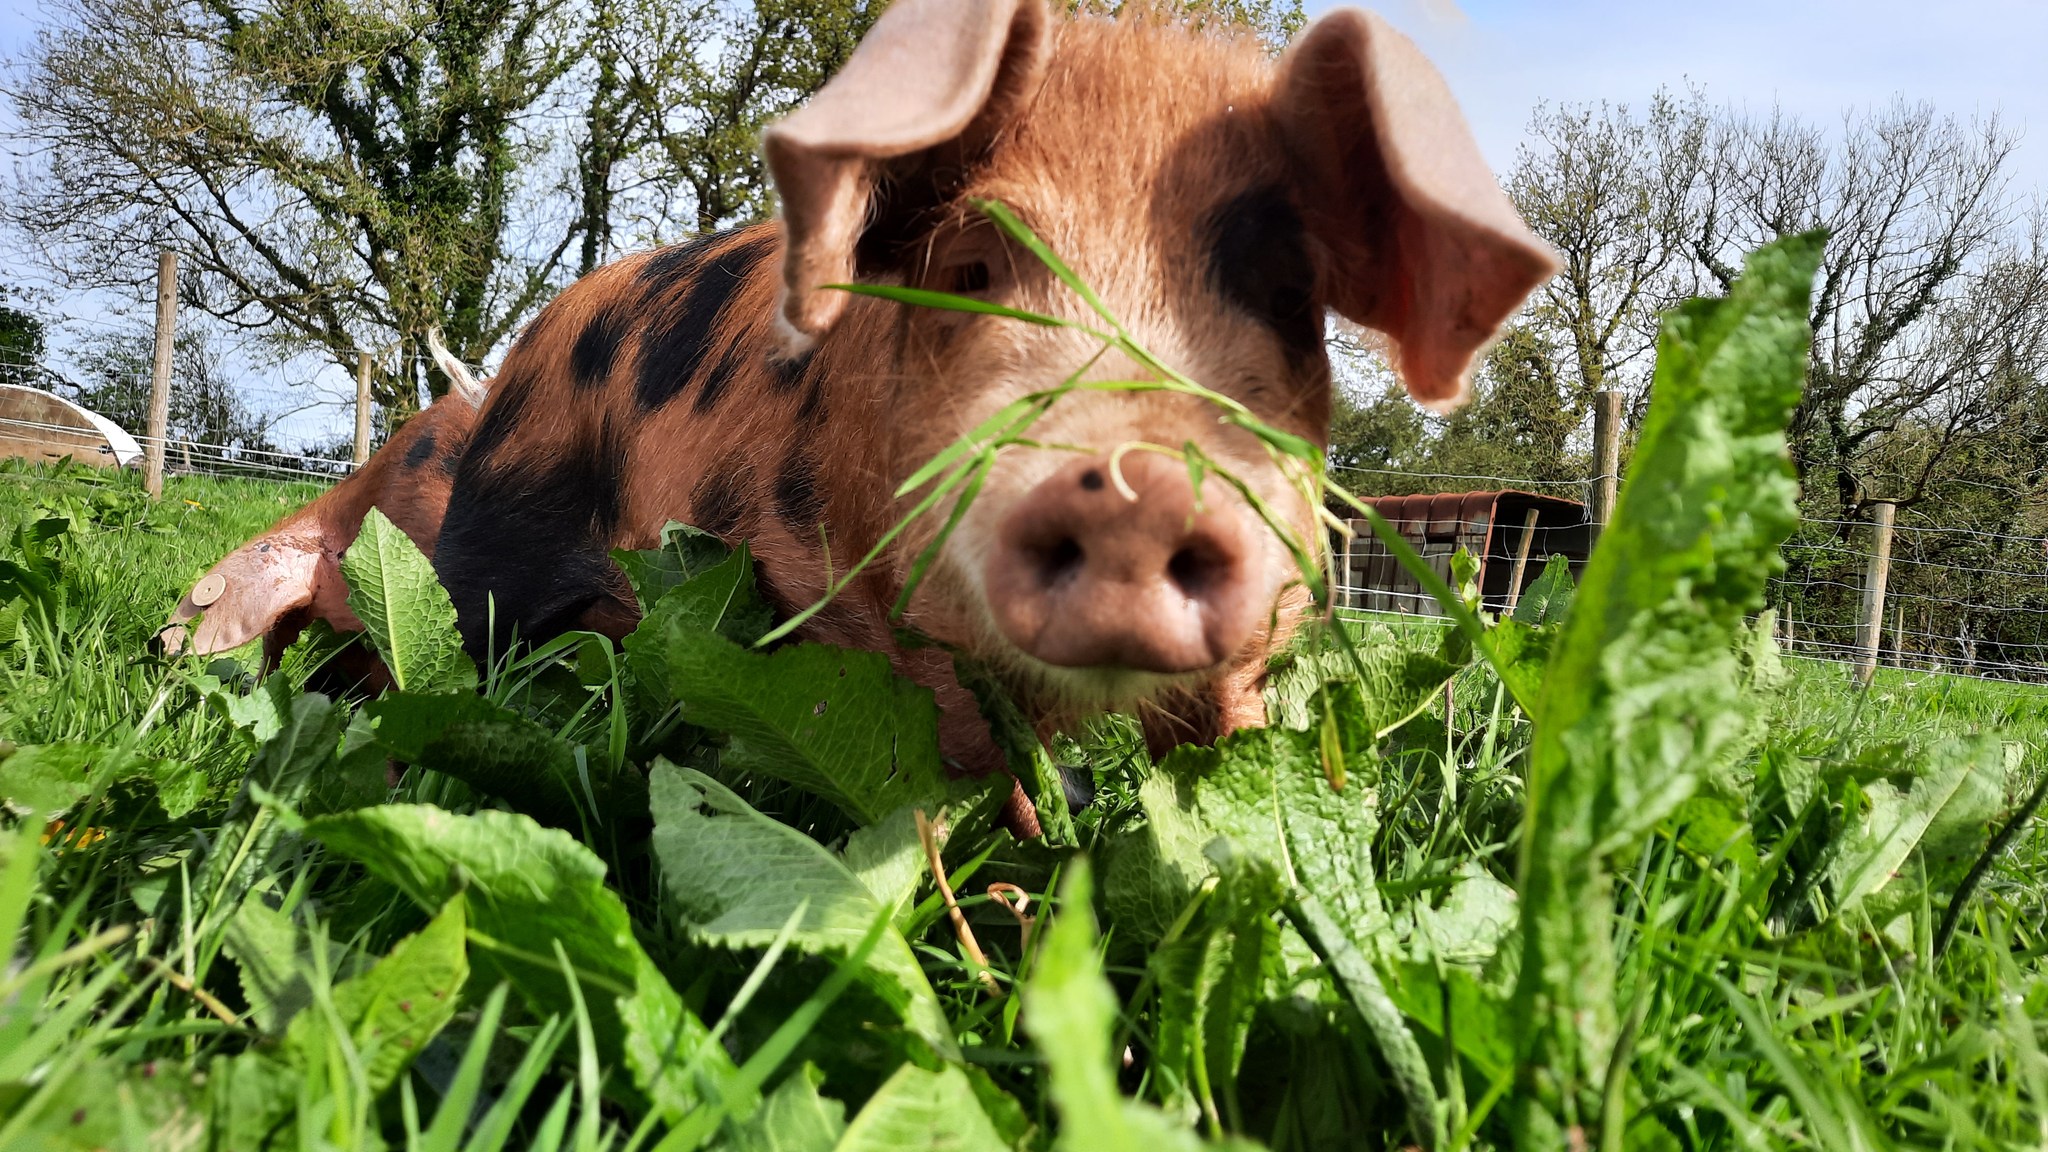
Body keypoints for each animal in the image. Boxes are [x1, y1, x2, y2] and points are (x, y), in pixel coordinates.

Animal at [421, 0, 1556, 828]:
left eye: (1285, 294)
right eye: (969, 268)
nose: (1132, 482)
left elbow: (1226, 760)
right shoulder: (873, 620)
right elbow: (961, 782)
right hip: (491, 556)